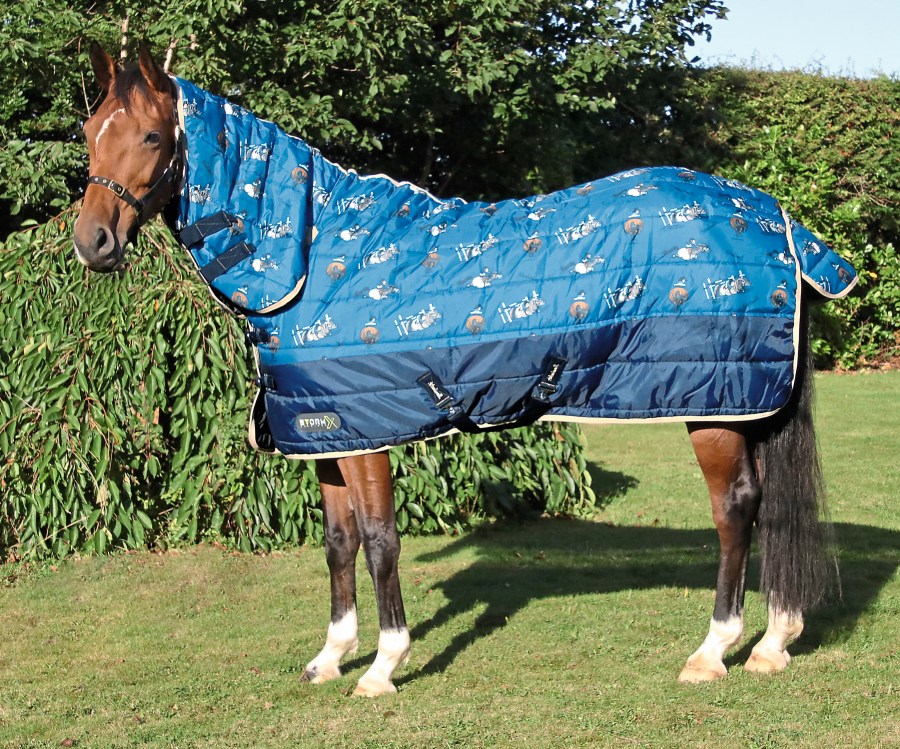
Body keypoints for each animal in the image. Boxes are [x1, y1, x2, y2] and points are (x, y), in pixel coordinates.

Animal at [73, 43, 850, 697]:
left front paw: (382, 666)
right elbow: (338, 544)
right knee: (773, 507)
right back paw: (774, 642)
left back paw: (713, 650)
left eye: (151, 137)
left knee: (736, 508)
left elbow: (380, 541)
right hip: (751, 407)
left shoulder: (369, 437)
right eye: (88, 132)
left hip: (716, 405)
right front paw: (331, 656)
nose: (93, 242)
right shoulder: (326, 434)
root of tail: (777, 220)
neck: (316, 258)